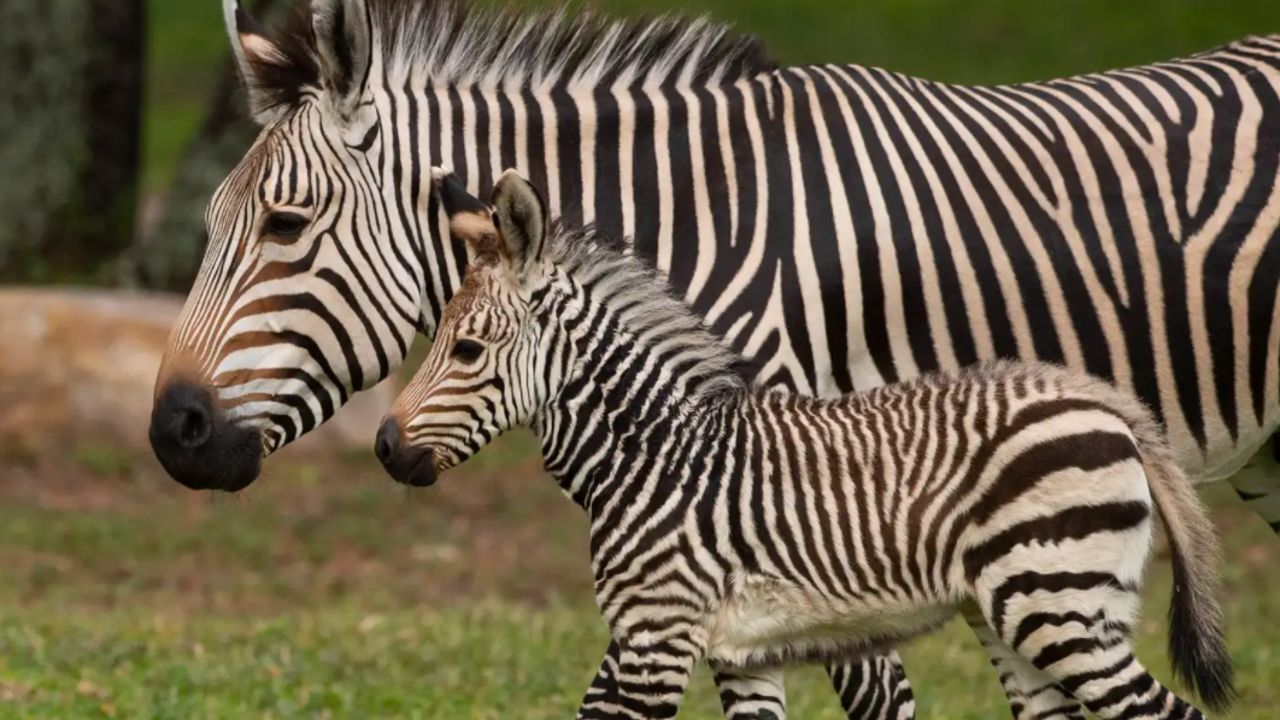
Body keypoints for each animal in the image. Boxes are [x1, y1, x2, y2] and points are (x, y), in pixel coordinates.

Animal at [375, 168, 1234, 720]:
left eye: (467, 351)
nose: (384, 447)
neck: (651, 455)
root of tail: (1102, 400)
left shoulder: (655, 636)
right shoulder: (735, 652)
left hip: (1061, 606)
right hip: (1022, 615)